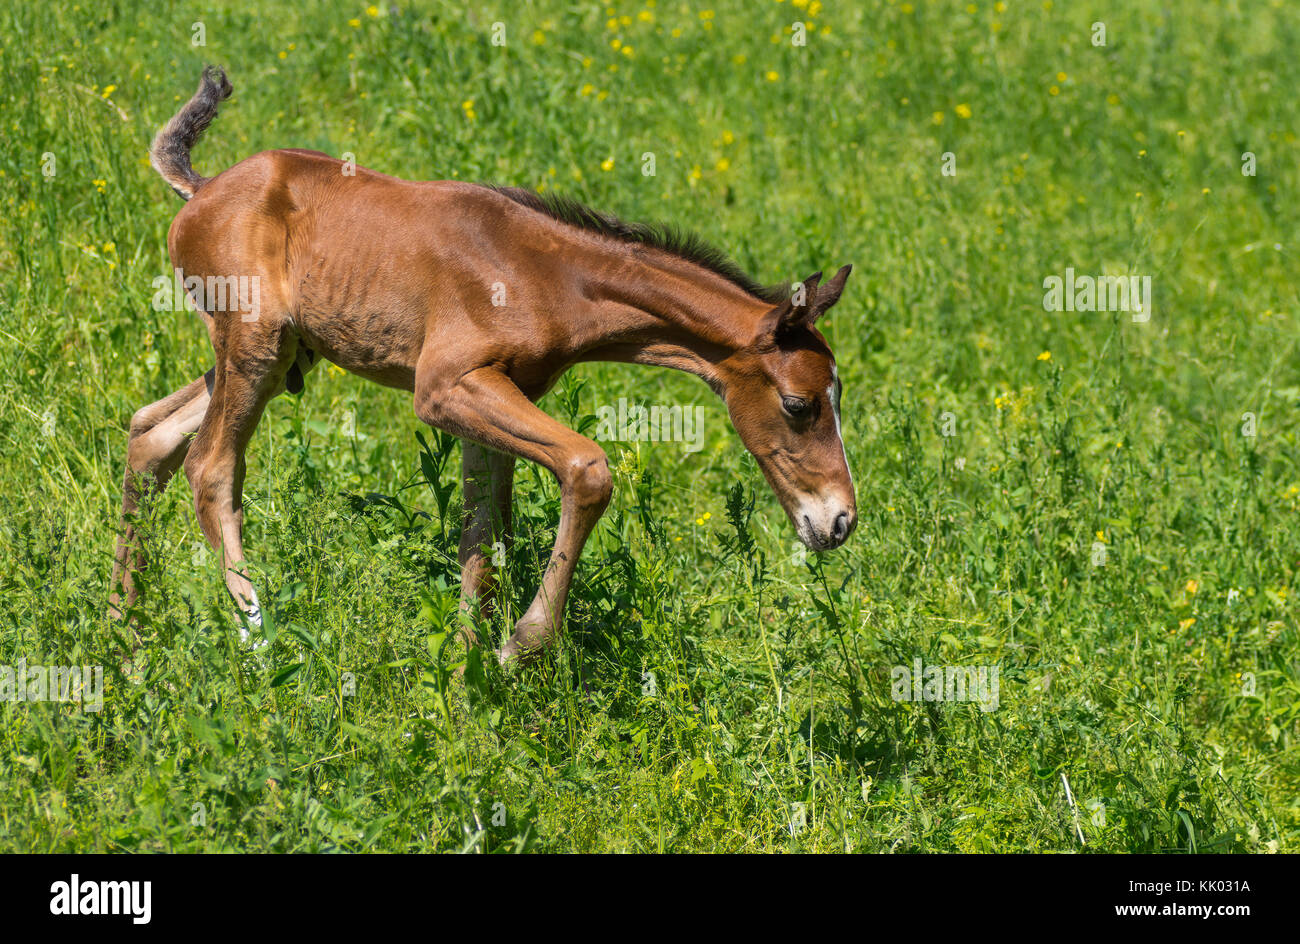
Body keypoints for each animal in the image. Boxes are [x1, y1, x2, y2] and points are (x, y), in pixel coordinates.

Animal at [109, 67, 857, 663]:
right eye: (799, 404)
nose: (840, 522)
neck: (551, 277)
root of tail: (201, 189)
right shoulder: (445, 388)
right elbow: (587, 470)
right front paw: (517, 648)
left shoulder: (494, 397)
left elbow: (483, 533)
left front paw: (468, 672)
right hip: (255, 347)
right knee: (211, 465)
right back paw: (257, 637)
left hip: (282, 355)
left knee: (151, 431)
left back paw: (125, 636)